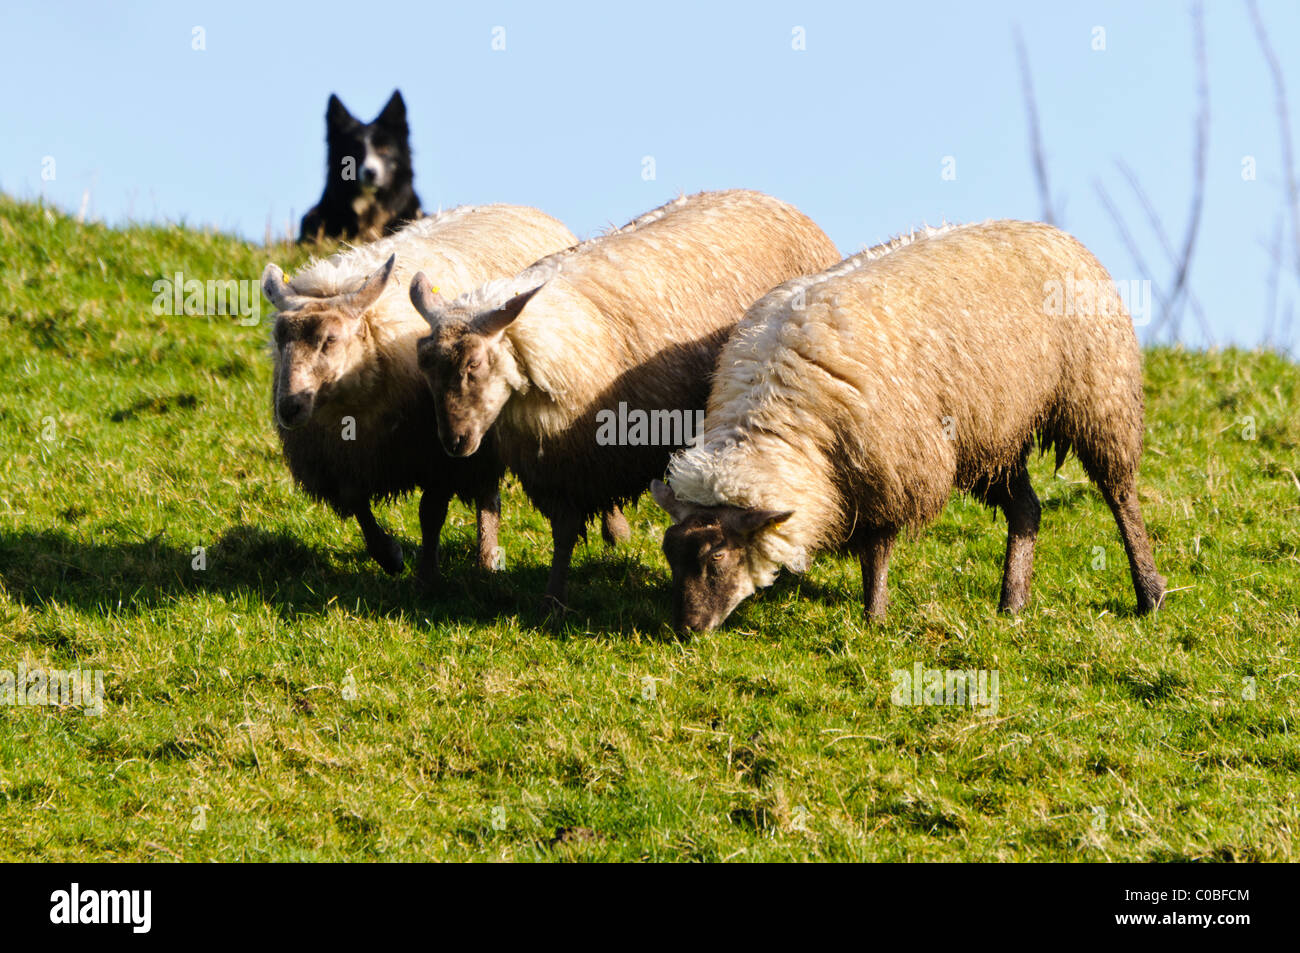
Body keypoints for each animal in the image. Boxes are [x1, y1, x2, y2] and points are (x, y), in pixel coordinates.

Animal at [261, 204, 595, 585]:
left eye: (330, 340)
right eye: (278, 338)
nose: (288, 408)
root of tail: (524, 208)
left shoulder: (439, 454)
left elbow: (430, 512)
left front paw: (427, 576)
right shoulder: (343, 460)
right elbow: (357, 502)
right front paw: (388, 555)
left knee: (487, 497)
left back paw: (485, 559)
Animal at [407, 190, 841, 607]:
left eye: (474, 363)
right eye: (423, 364)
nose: (454, 443)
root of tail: (775, 200)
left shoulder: (578, 458)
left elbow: (566, 534)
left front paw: (552, 603)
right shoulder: (559, 466)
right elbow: (564, 532)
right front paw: (554, 596)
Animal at [651, 219, 1167, 631]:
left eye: (717, 557)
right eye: (669, 554)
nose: (687, 629)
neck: (777, 417)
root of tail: (1052, 231)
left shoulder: (891, 468)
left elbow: (876, 548)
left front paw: (874, 618)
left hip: (1100, 395)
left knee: (1119, 493)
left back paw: (1149, 592)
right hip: (993, 432)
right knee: (1027, 510)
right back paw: (1012, 603)